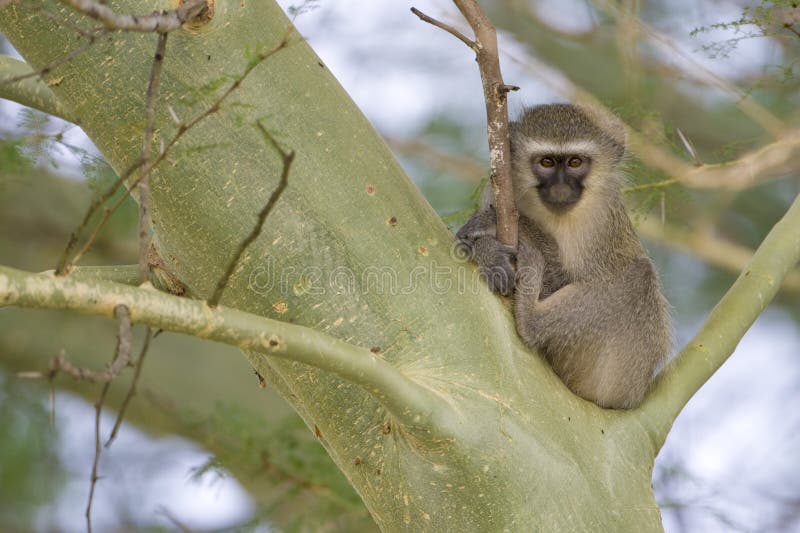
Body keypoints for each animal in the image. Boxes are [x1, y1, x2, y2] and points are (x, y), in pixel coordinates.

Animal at [456, 103, 671, 409]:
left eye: (575, 163)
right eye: (546, 162)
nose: (560, 188)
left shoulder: (604, 223)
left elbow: (565, 277)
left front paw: (505, 224)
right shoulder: (496, 190)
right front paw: (488, 253)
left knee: (640, 277)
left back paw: (530, 318)